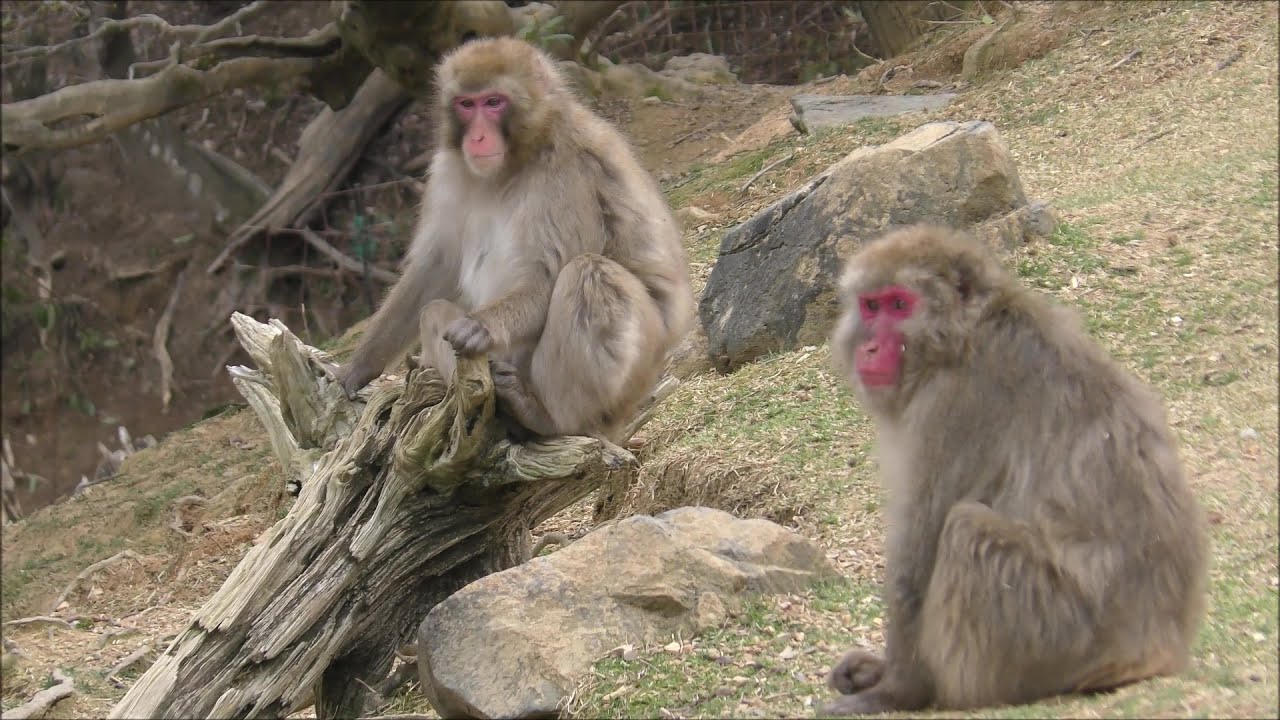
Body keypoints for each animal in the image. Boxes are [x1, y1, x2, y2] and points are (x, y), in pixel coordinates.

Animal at [337, 37, 693, 442]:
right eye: (466, 104)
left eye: (494, 102)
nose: (477, 137)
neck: (516, 160)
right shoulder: (447, 171)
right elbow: (437, 267)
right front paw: (361, 365)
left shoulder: (566, 174)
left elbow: (546, 277)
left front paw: (482, 327)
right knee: (433, 315)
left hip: (626, 390)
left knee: (589, 274)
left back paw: (546, 417)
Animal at [821, 225, 1208, 715]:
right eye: (871, 306)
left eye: (899, 305)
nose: (869, 347)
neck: (961, 337)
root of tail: (1161, 645)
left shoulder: (954, 405)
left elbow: (921, 549)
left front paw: (896, 691)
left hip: (1054, 629)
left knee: (965, 530)